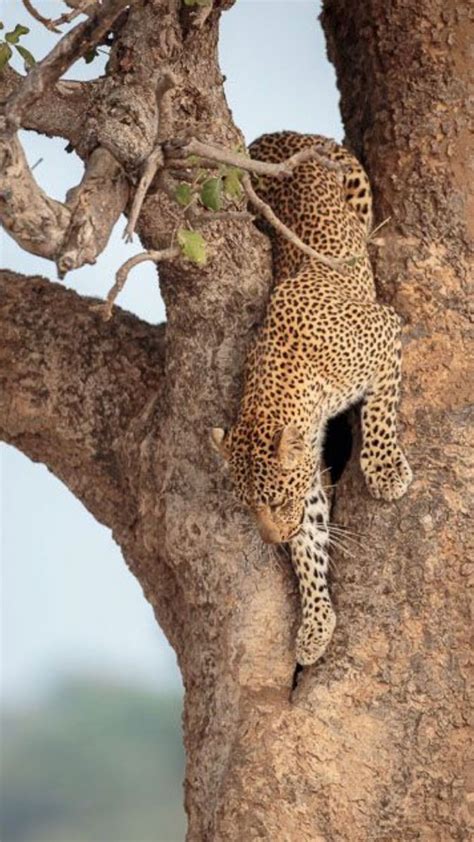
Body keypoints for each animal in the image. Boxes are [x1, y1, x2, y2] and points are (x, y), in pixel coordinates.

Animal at [211, 131, 413, 666]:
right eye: (248, 507)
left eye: (275, 499)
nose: (272, 540)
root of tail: (269, 137)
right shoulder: (308, 474)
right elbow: (311, 540)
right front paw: (316, 623)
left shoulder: (385, 330)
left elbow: (379, 411)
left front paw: (385, 470)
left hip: (350, 177)